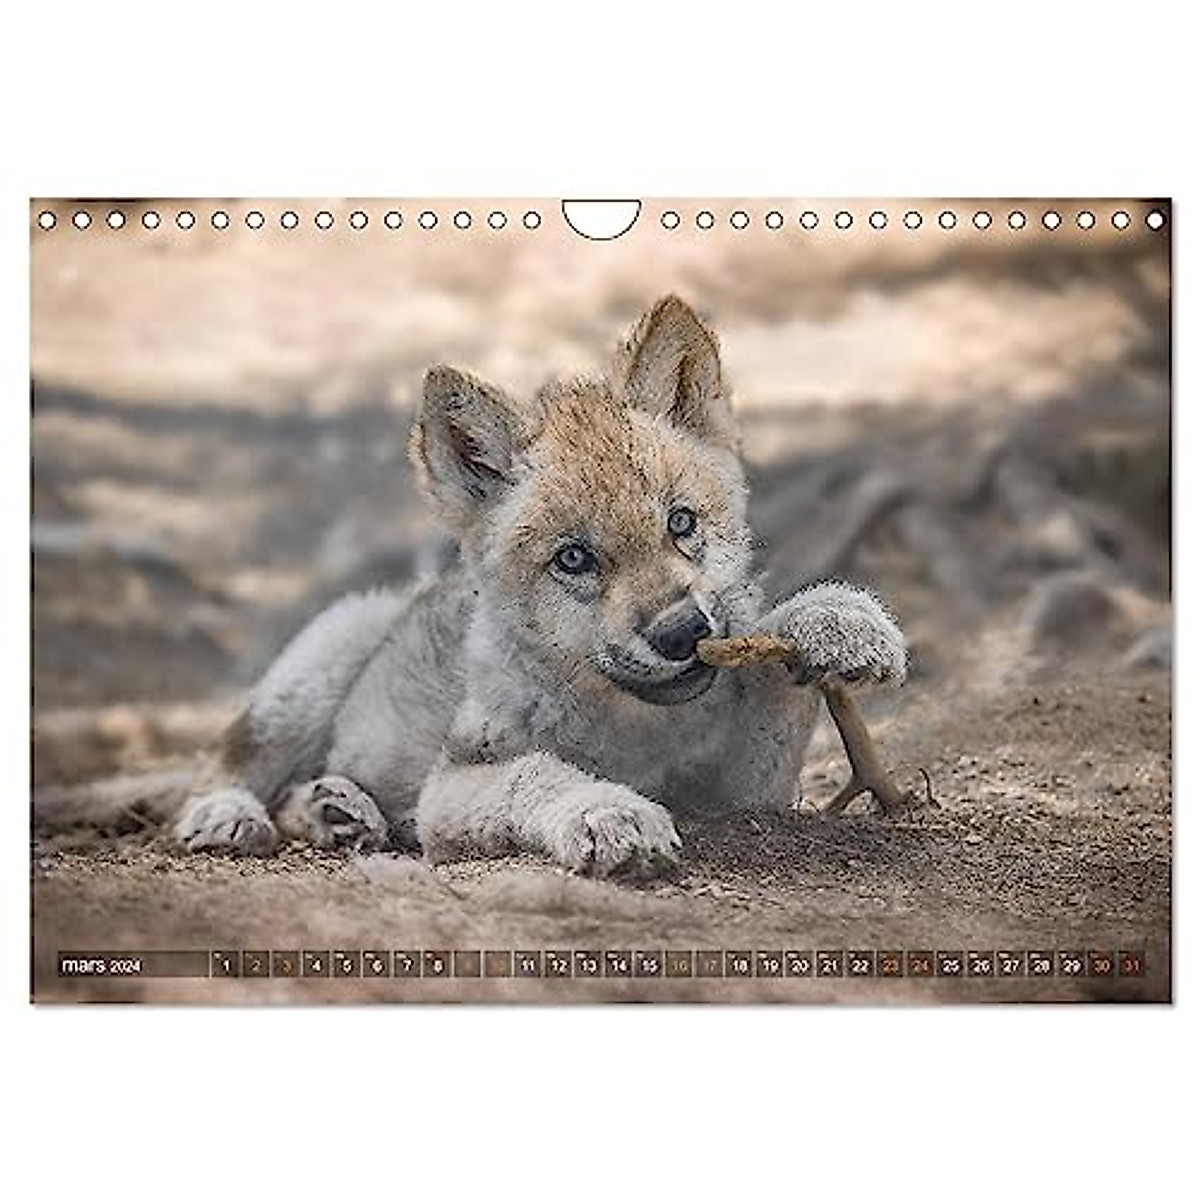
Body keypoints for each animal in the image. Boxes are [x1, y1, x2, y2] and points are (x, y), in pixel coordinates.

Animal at [79, 297, 907, 878]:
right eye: (574, 559)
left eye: (681, 524)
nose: (681, 633)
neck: (636, 730)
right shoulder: (449, 792)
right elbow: (536, 775)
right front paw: (609, 814)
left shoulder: (745, 795)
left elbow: (776, 665)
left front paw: (840, 621)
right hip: (310, 674)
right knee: (225, 765)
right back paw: (232, 816)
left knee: (300, 789)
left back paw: (338, 812)